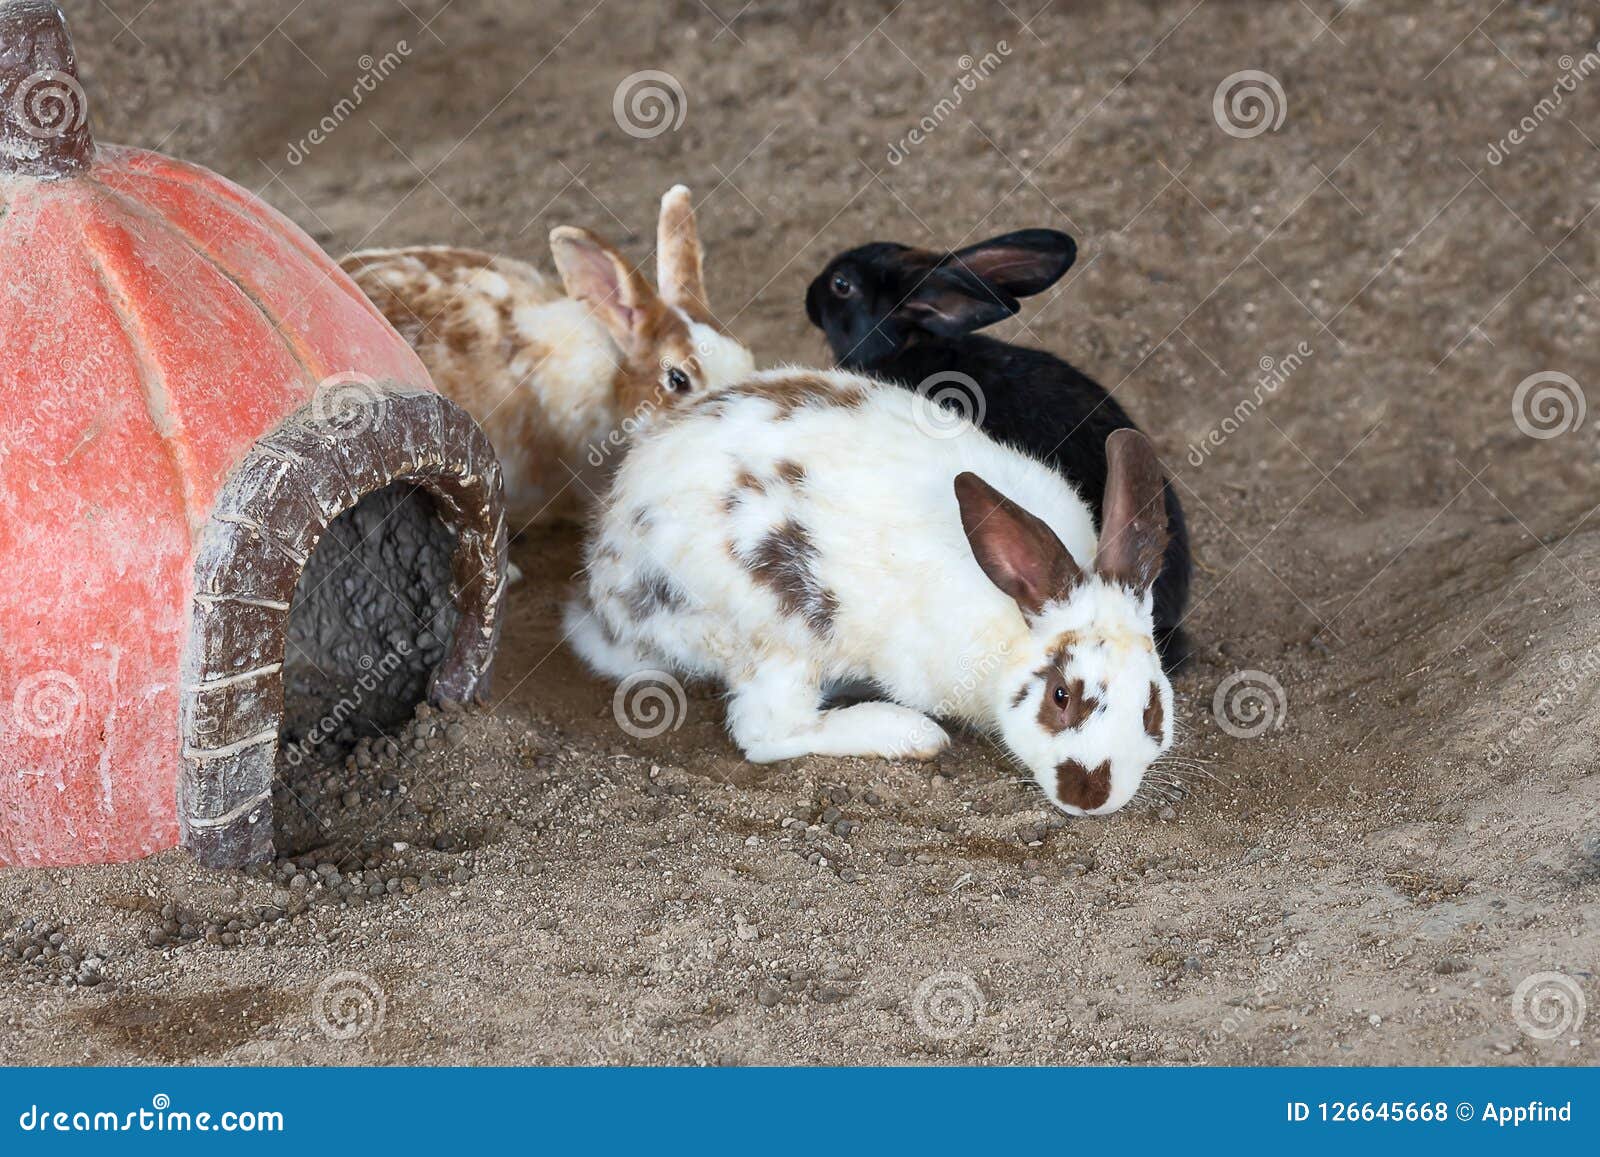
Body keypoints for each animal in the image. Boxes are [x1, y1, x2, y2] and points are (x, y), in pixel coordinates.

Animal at [565, 368, 1174, 816]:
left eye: (1151, 708)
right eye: (1061, 696)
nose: (1090, 794)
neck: (1012, 624)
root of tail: (609, 580)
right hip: (781, 629)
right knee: (767, 730)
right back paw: (909, 733)